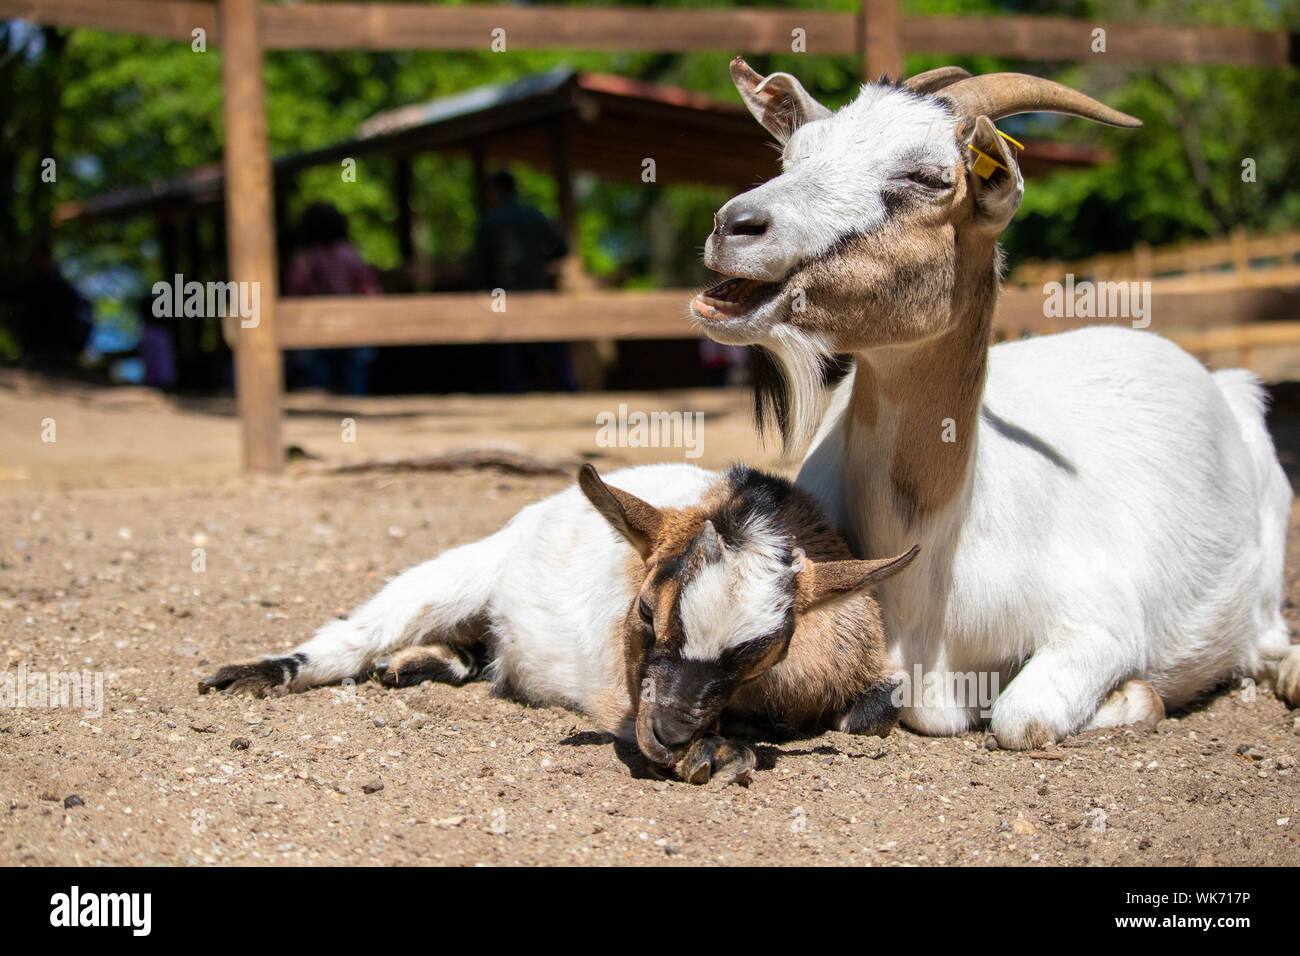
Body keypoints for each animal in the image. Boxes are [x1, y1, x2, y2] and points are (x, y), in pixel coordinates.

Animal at [201, 463, 917, 784]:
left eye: (764, 652)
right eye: (645, 611)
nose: (668, 733)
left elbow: (871, 710)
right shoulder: (621, 691)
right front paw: (715, 752)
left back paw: (418, 663)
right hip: (463, 569)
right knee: (368, 627)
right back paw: (263, 672)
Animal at [691, 60, 1298, 749]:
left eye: (927, 177)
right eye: (794, 155)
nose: (734, 226)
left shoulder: (1100, 625)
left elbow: (1020, 717)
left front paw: (1135, 695)